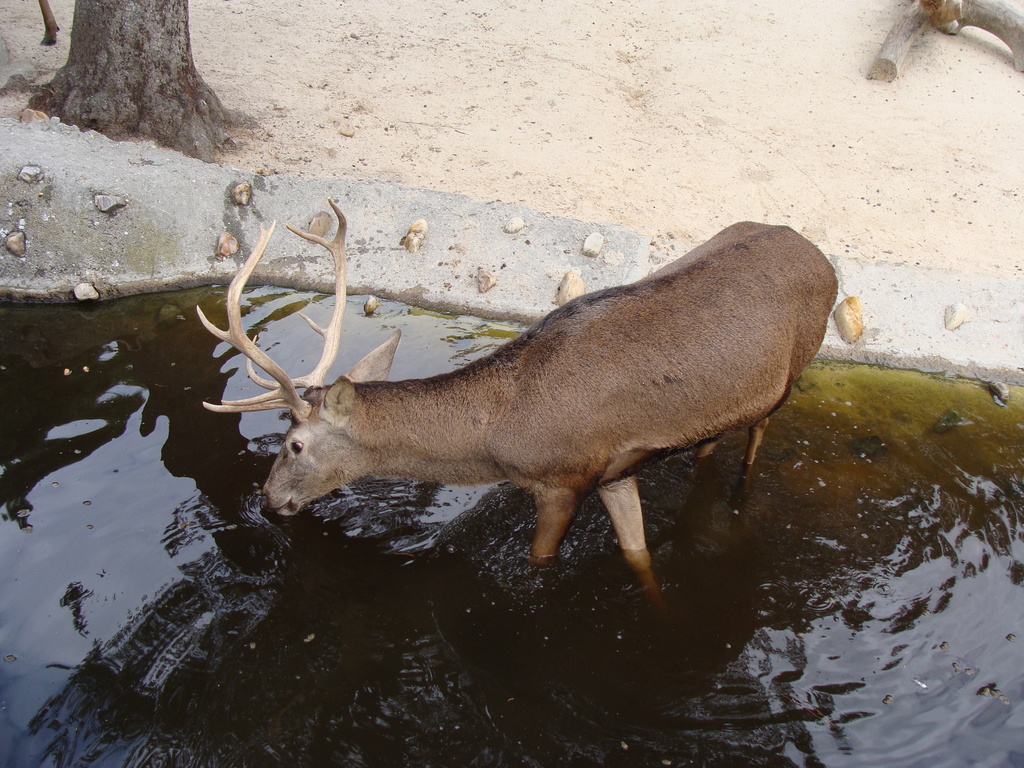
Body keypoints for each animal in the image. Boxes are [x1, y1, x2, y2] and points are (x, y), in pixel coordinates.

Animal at [198, 200, 838, 601]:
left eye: (294, 444)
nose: (268, 498)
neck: (497, 434)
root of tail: (822, 257)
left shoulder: (562, 478)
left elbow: (539, 562)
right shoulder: (614, 469)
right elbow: (639, 556)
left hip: (793, 369)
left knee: (758, 432)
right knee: (711, 440)